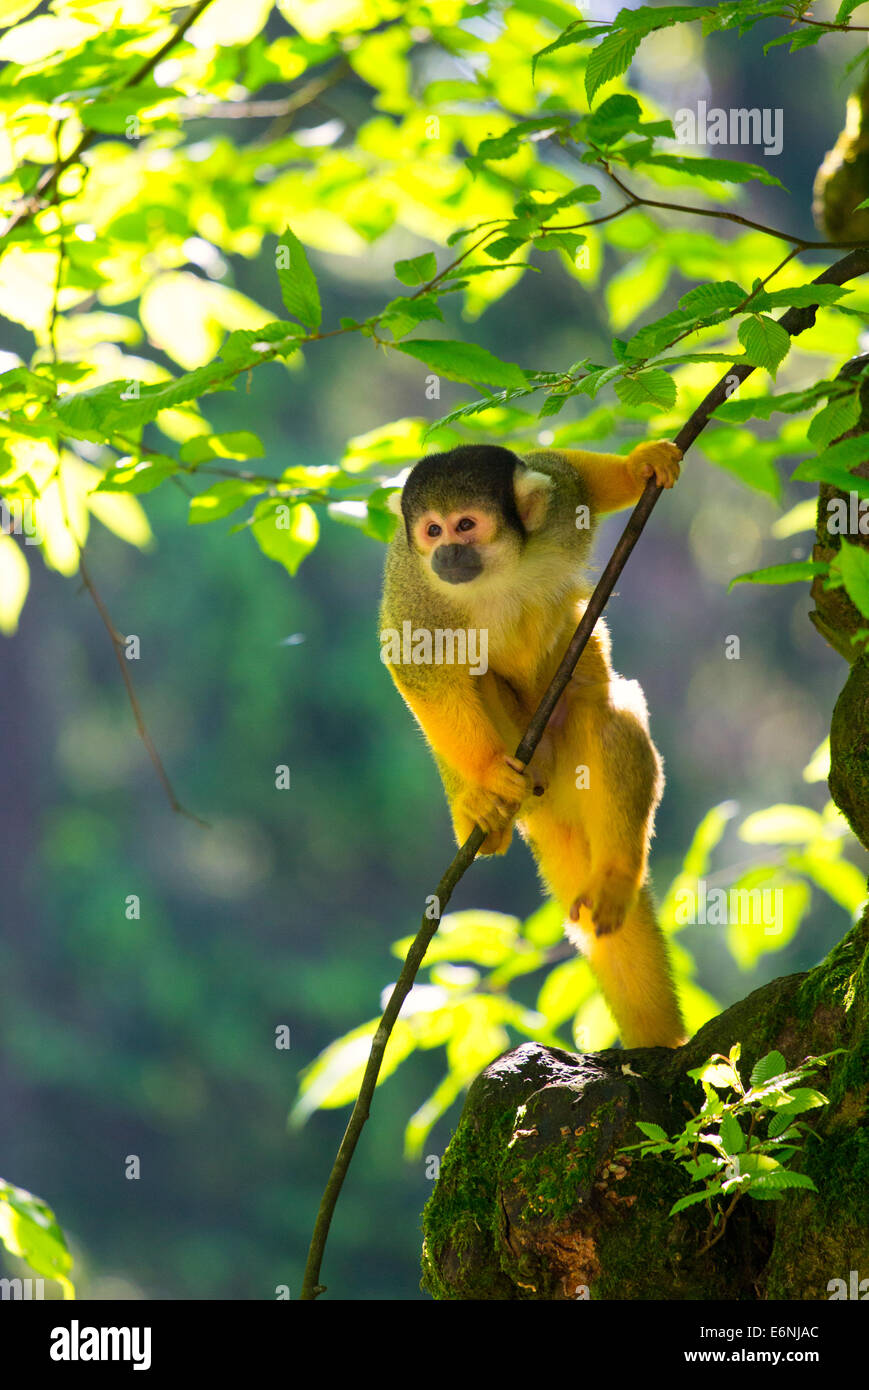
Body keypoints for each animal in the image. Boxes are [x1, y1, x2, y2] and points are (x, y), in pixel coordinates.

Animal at [379, 439, 686, 1050]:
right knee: (470, 677)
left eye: (465, 525)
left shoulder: (558, 514)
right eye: (431, 530)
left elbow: (574, 481)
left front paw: (641, 463)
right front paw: (486, 779)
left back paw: (615, 876)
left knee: (607, 716)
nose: (446, 554)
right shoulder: (413, 583)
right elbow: (416, 665)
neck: (495, 572)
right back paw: (483, 812)